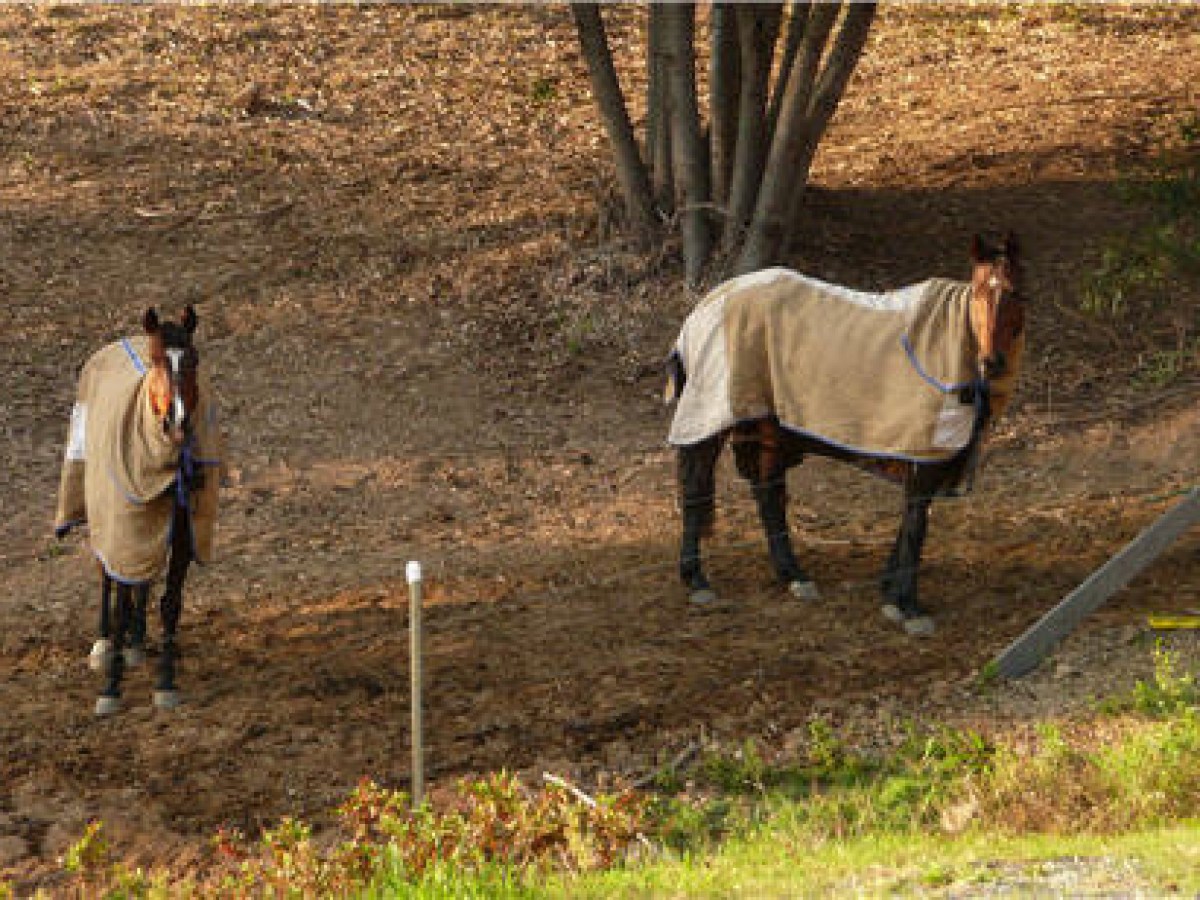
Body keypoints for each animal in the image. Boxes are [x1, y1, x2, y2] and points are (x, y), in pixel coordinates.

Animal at [55, 306, 221, 715]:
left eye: (193, 360)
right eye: (157, 360)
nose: (177, 423)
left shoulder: (181, 535)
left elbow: (170, 603)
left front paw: (166, 681)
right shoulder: (122, 526)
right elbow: (118, 598)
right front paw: (110, 689)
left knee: (139, 580)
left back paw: (135, 643)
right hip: (106, 516)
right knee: (109, 576)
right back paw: (105, 646)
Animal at [665, 234, 1027, 635]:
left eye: (1015, 292)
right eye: (978, 293)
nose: (992, 361)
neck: (948, 345)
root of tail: (707, 304)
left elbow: (909, 519)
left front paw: (890, 591)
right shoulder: (924, 452)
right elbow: (916, 523)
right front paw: (908, 605)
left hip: (768, 425)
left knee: (768, 492)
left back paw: (793, 575)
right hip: (712, 414)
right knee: (697, 487)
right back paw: (697, 580)